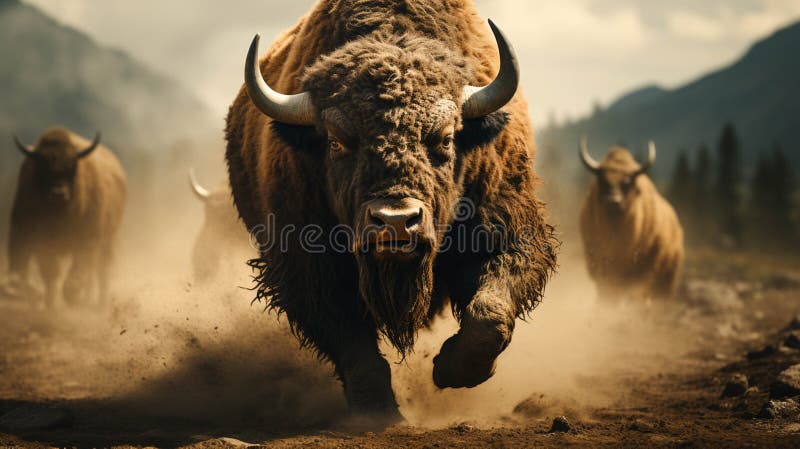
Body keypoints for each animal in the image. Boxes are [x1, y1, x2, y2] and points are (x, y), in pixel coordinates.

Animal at [8, 126, 126, 307]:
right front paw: (51, 305)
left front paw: (71, 295)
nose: (58, 193)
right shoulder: (42, 240)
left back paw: (100, 304)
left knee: (102, 270)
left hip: (109, 240)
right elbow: (51, 271)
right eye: (42, 167)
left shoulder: (88, 238)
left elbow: (79, 268)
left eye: (72, 168)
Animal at [225, 0, 557, 422]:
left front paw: (448, 370)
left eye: (445, 137)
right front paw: (378, 412)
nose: (396, 222)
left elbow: (489, 315)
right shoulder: (308, 268)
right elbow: (352, 341)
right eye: (337, 141)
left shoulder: (506, 236)